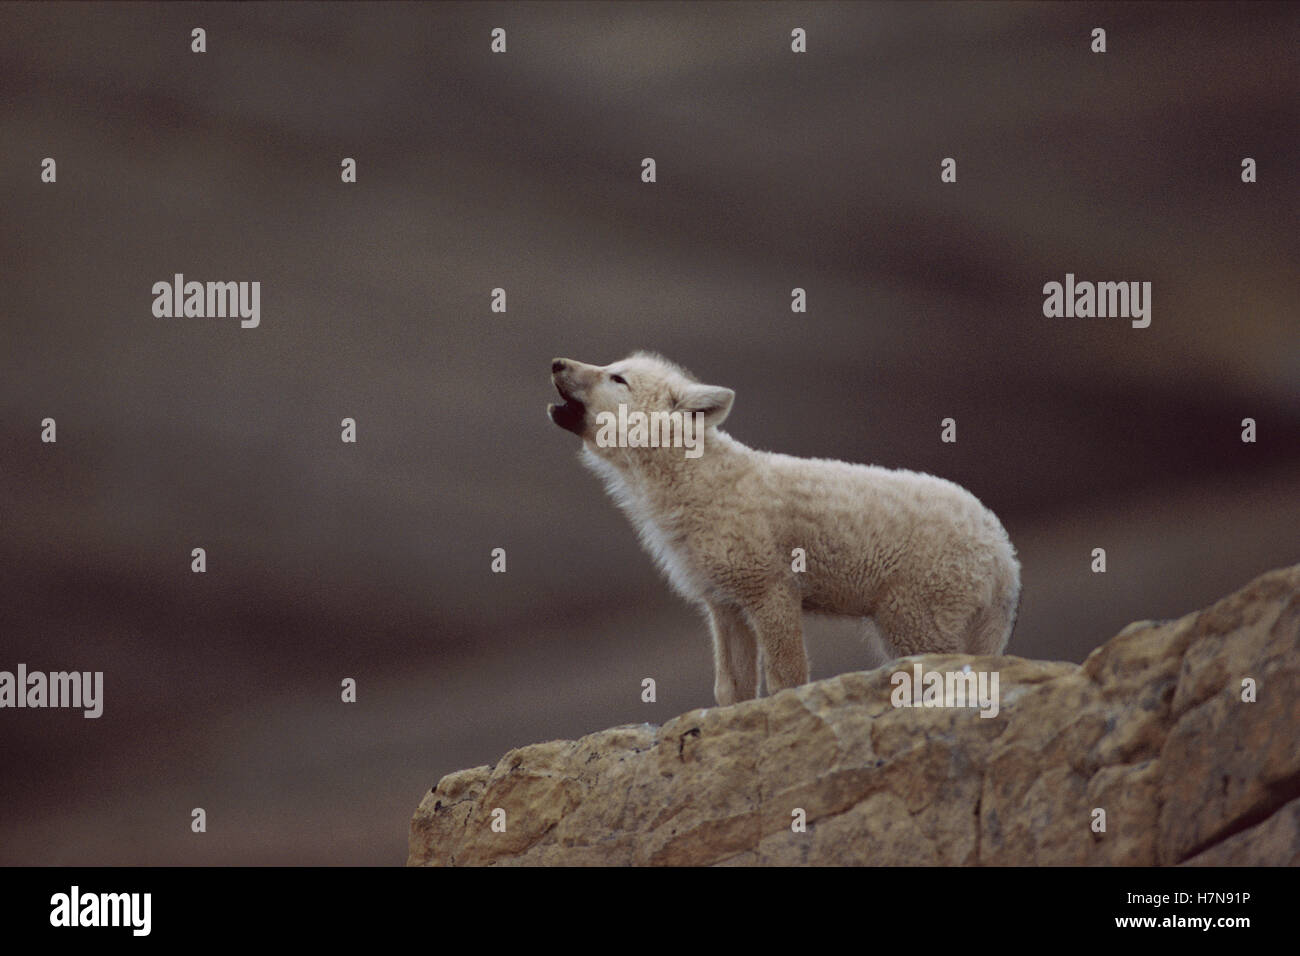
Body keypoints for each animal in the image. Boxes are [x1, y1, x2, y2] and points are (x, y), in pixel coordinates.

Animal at [548, 352, 1021, 707]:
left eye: (618, 378)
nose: (556, 362)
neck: (699, 484)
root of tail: (1003, 553)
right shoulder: (724, 604)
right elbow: (731, 687)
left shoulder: (771, 590)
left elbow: (784, 677)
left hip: (913, 620)